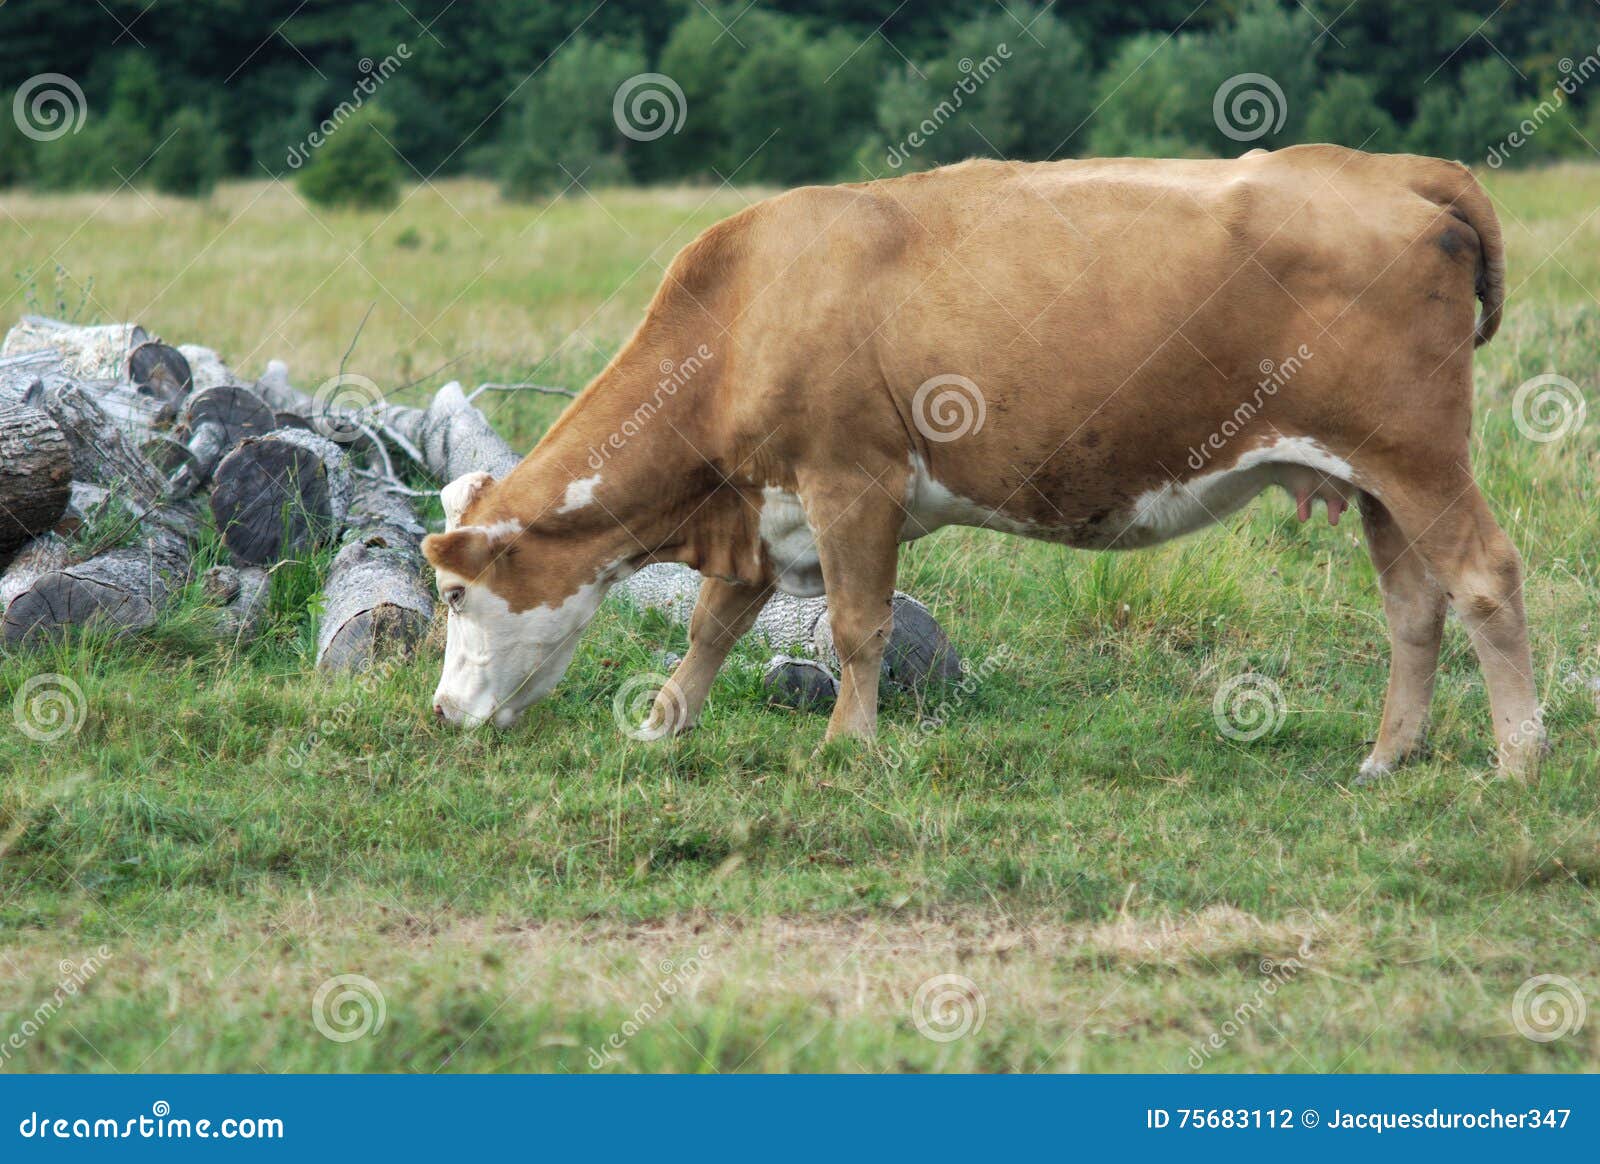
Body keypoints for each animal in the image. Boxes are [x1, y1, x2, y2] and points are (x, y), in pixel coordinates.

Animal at [423, 145, 1541, 779]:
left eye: (456, 595)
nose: (439, 712)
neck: (743, 310)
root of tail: (1390, 167)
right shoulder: (764, 503)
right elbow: (712, 624)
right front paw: (663, 723)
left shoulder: (852, 483)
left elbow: (857, 628)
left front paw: (847, 748)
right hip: (1372, 478)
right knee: (1414, 605)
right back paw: (1387, 755)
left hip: (1417, 456)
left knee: (1484, 578)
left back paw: (1518, 759)